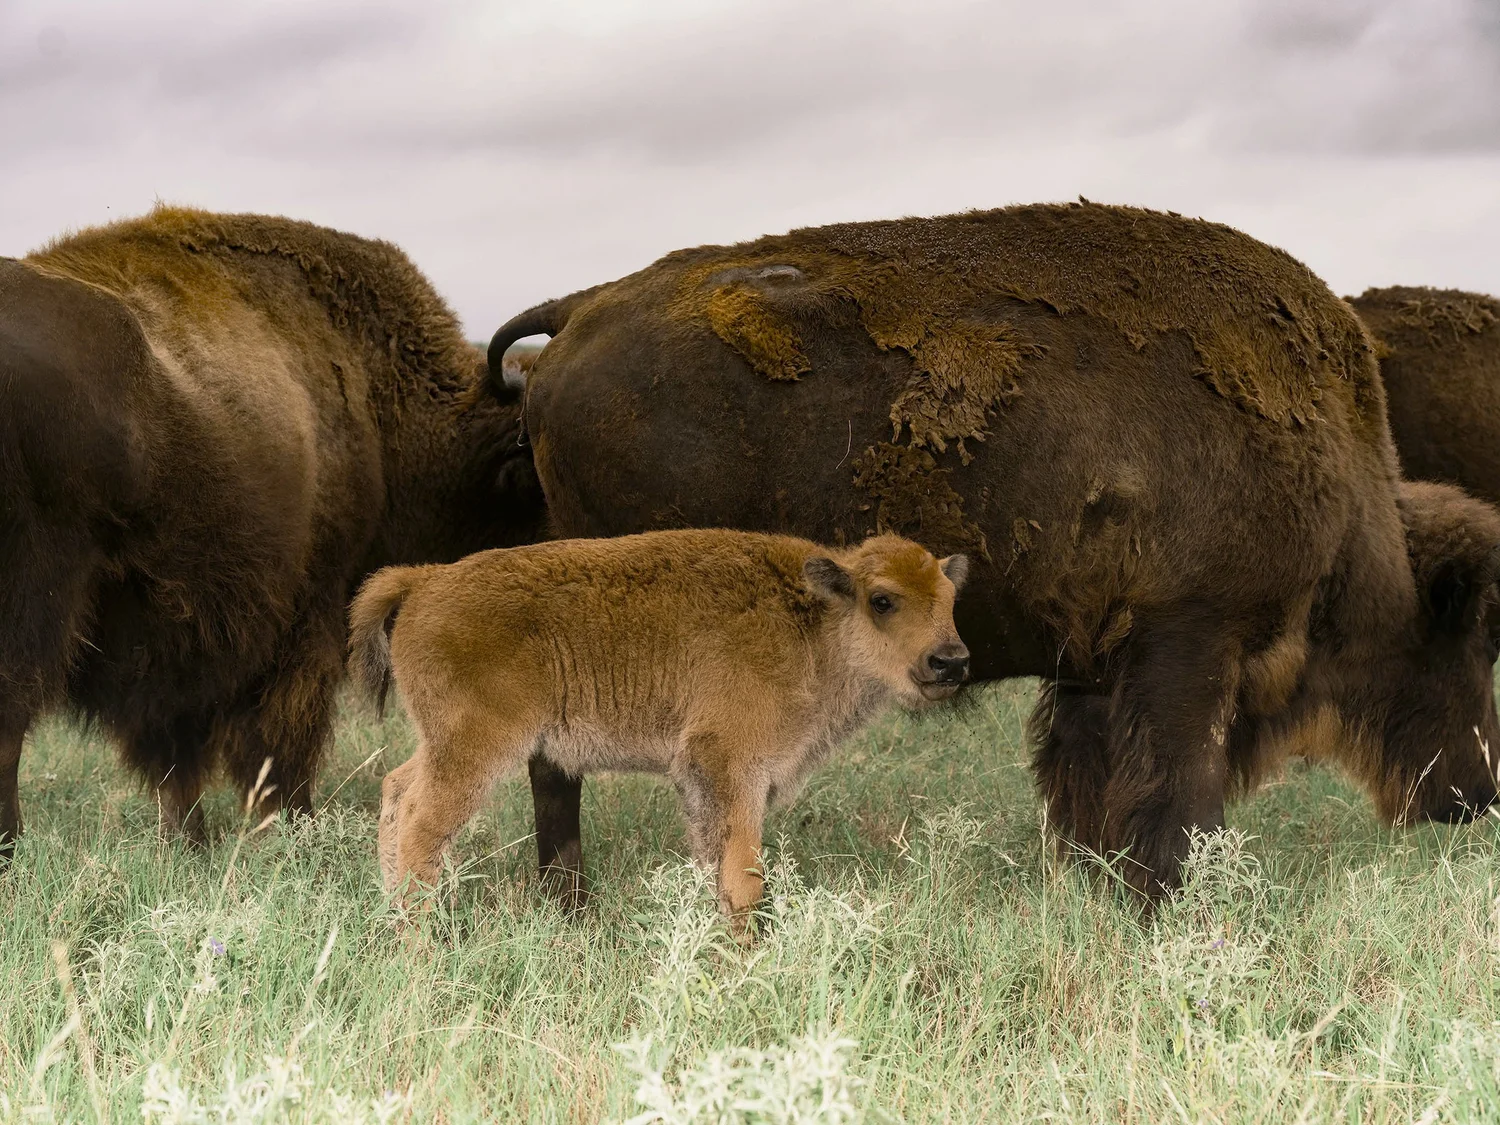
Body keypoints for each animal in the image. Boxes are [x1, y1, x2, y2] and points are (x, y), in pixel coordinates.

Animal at [0, 206, 543, 846]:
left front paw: (190, 842)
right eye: (535, 486)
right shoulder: (309, 617)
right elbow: (282, 735)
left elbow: (172, 754)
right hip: (37, 600)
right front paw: (288, 824)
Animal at [491, 202, 1500, 899]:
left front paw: (1095, 881)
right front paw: (1166, 896)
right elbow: (1180, 789)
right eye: (1465, 641)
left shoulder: (1095, 667)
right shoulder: (1191, 641)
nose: (1476, 800)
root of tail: (578, 313)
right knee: (555, 760)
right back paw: (574, 900)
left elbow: (1089, 781)